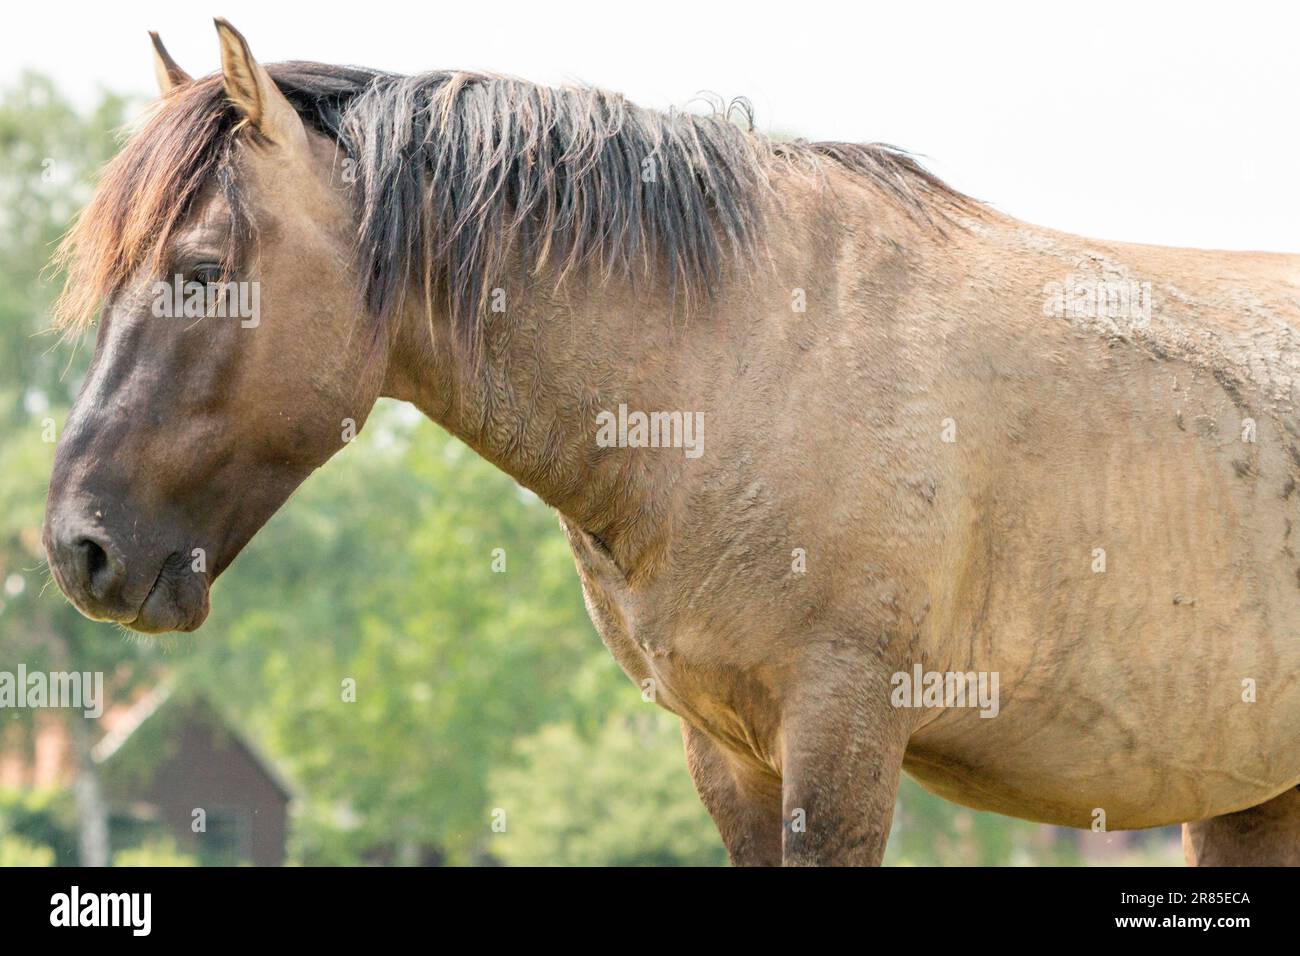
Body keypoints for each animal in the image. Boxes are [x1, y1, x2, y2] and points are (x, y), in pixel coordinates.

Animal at [43, 19, 1300, 865]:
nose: (77, 547)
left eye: (202, 270)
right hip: (1248, 798)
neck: (734, 370)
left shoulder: (842, 734)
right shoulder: (729, 751)